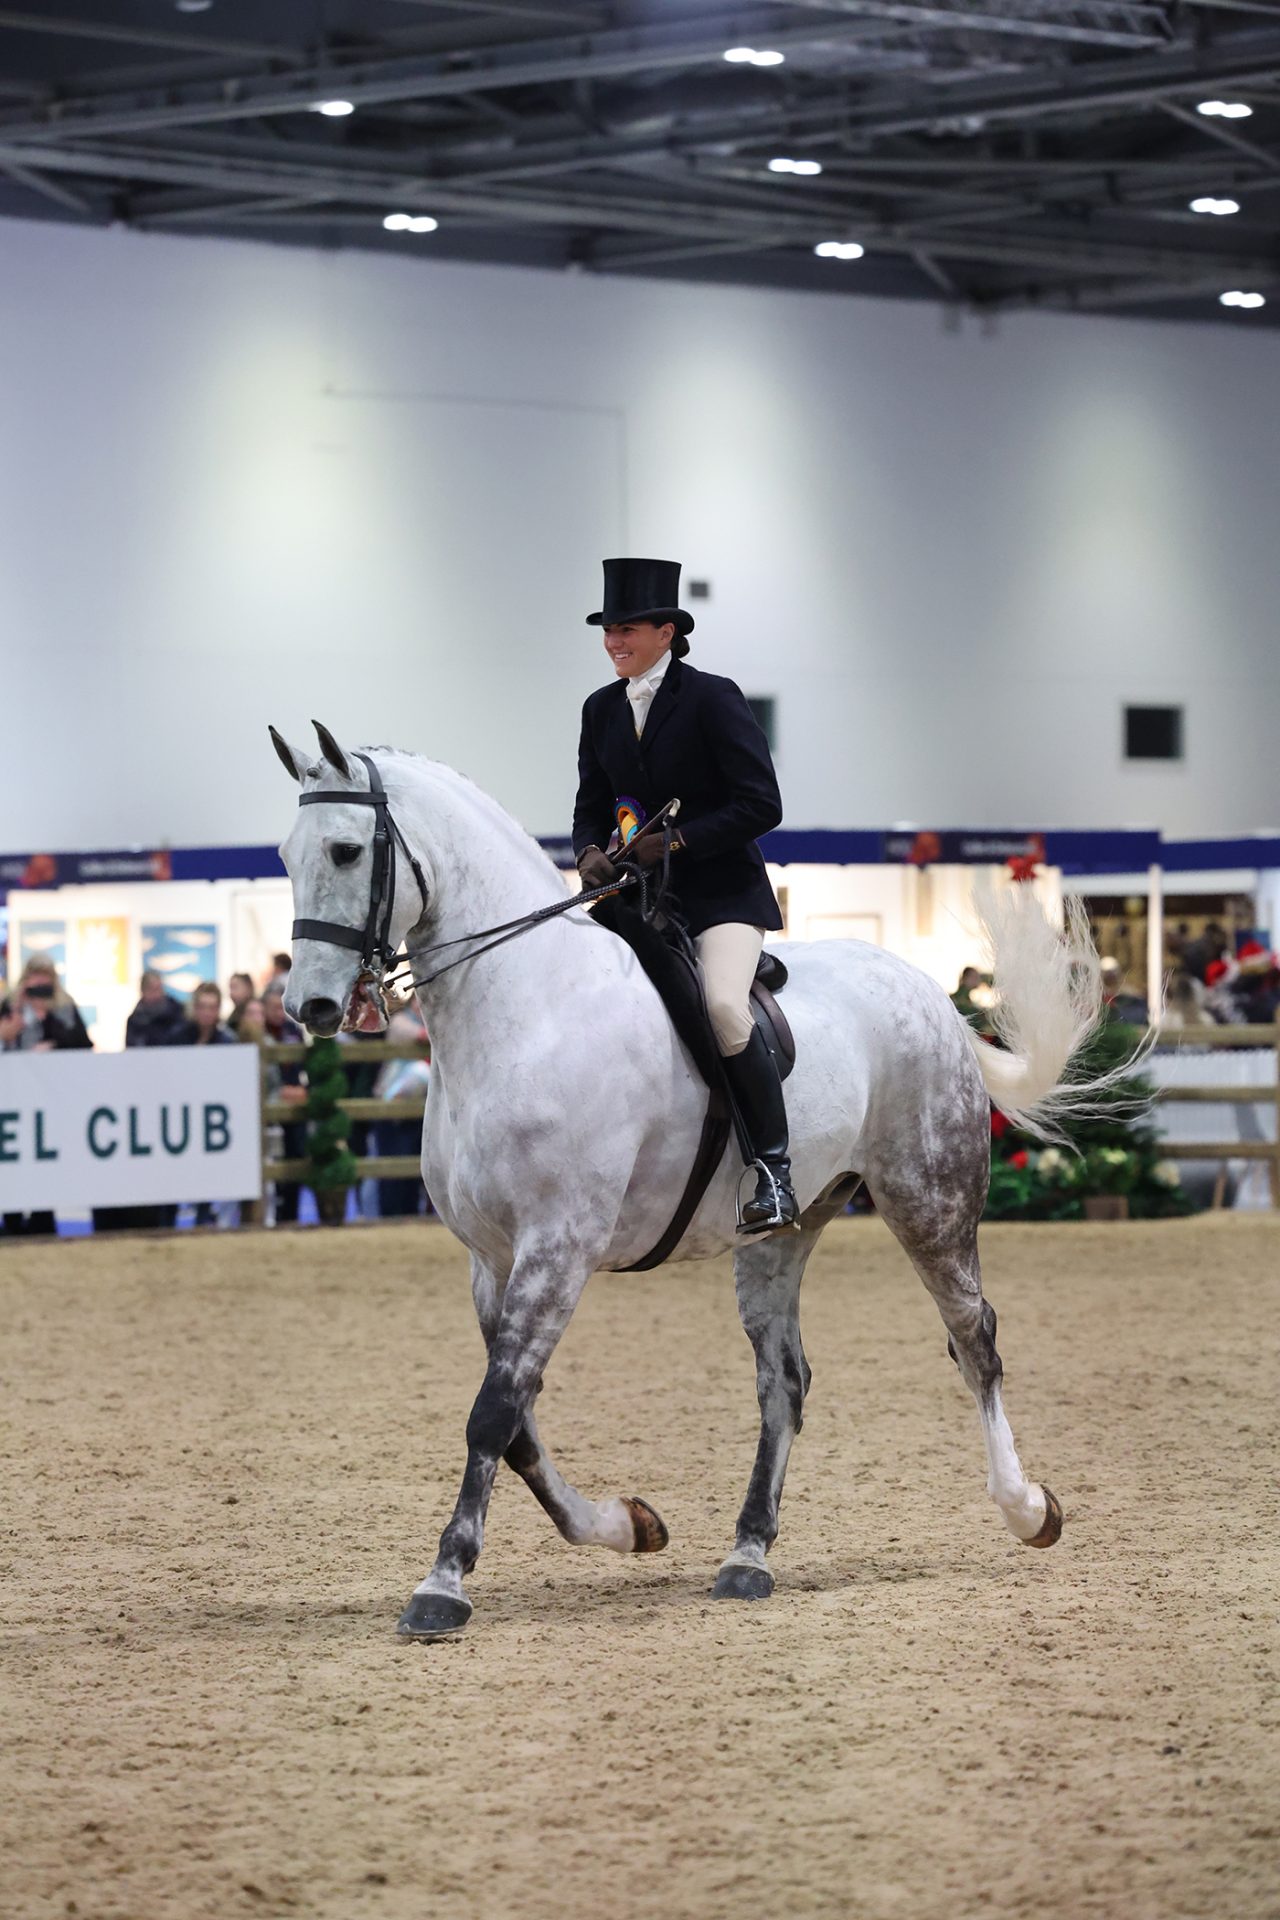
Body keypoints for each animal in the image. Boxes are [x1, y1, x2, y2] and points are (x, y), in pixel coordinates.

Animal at [272, 721, 1104, 1640]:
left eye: (347, 851)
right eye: (285, 855)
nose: (309, 1009)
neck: (528, 1012)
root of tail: (931, 994)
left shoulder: (556, 1250)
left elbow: (494, 1411)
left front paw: (444, 1582)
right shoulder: (490, 1261)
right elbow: (517, 1422)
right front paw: (627, 1525)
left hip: (930, 1202)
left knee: (975, 1342)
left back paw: (1028, 1509)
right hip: (781, 1234)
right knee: (785, 1384)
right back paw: (747, 1555)